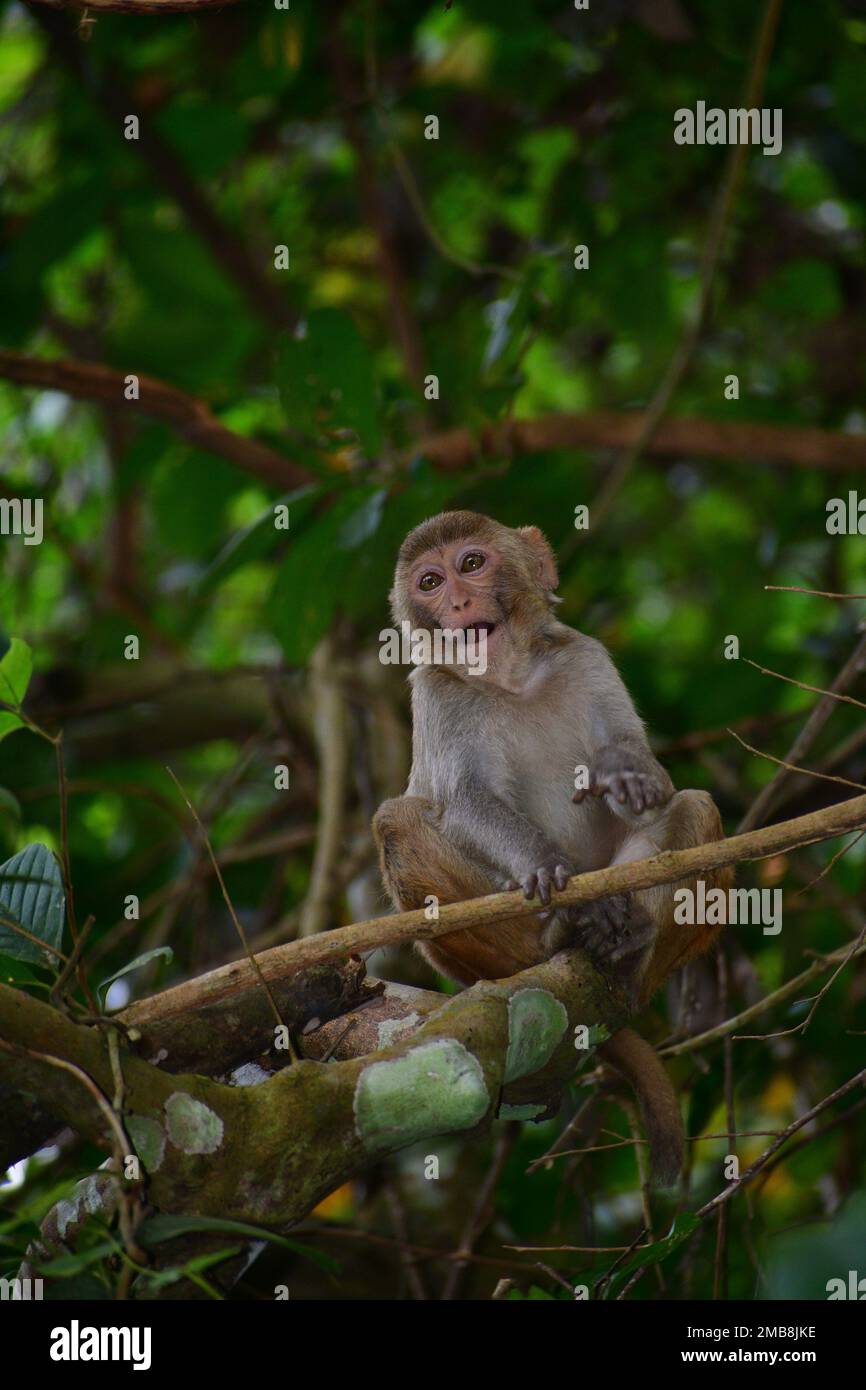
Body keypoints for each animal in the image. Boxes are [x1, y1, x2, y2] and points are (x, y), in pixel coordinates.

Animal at [372, 510, 730, 1185]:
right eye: (430, 581)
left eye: (472, 564)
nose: (456, 603)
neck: (513, 677)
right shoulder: (437, 690)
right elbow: (464, 801)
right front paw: (545, 867)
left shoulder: (585, 657)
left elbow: (658, 787)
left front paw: (629, 780)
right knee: (396, 821)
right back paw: (556, 936)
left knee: (696, 807)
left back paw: (625, 948)